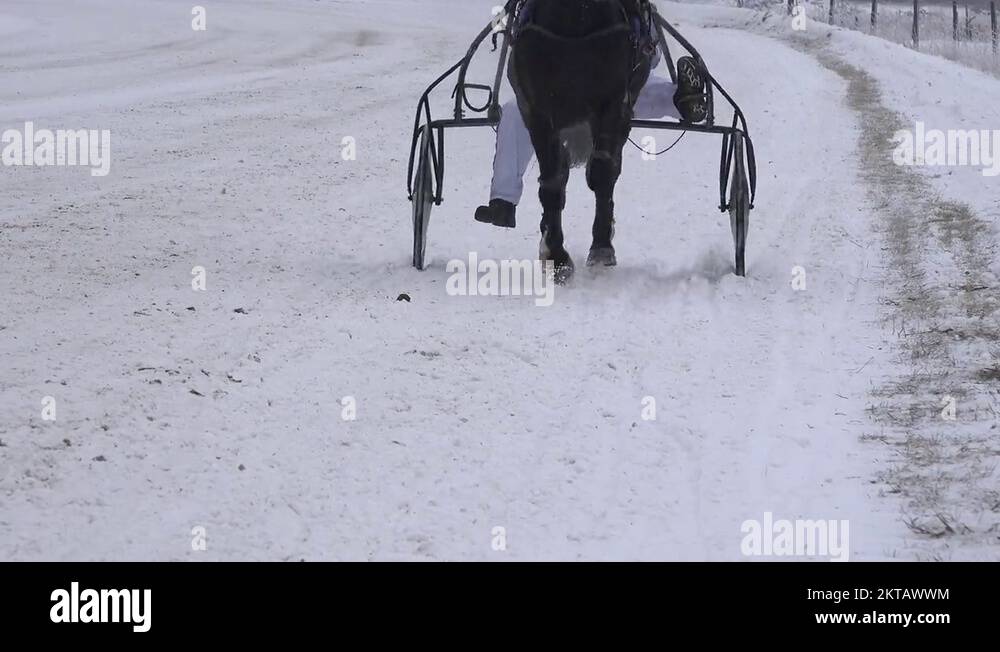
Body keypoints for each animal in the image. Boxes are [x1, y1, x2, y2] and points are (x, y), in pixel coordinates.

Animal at [508, 0, 653, 283]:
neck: (576, 14)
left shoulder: (613, 101)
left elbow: (602, 172)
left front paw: (601, 248)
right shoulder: (536, 109)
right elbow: (553, 180)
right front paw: (556, 255)